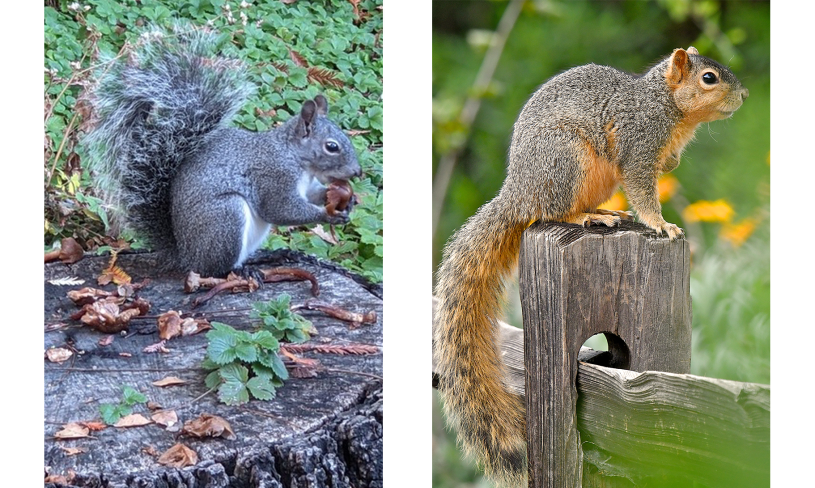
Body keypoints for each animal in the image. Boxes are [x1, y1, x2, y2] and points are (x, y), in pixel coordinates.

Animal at [85, 28, 361, 276]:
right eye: (332, 146)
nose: (357, 172)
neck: (295, 157)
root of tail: (185, 255)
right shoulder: (273, 177)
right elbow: (280, 210)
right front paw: (327, 215)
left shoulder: (306, 184)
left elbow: (314, 194)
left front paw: (345, 200)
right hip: (225, 218)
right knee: (213, 270)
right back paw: (242, 271)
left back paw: (266, 257)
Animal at [434, 47, 748, 486]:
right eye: (709, 78)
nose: (745, 95)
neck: (666, 105)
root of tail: (518, 194)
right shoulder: (637, 145)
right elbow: (643, 192)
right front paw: (660, 224)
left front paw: (671, 167)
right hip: (568, 161)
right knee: (554, 212)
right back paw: (587, 218)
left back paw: (604, 212)